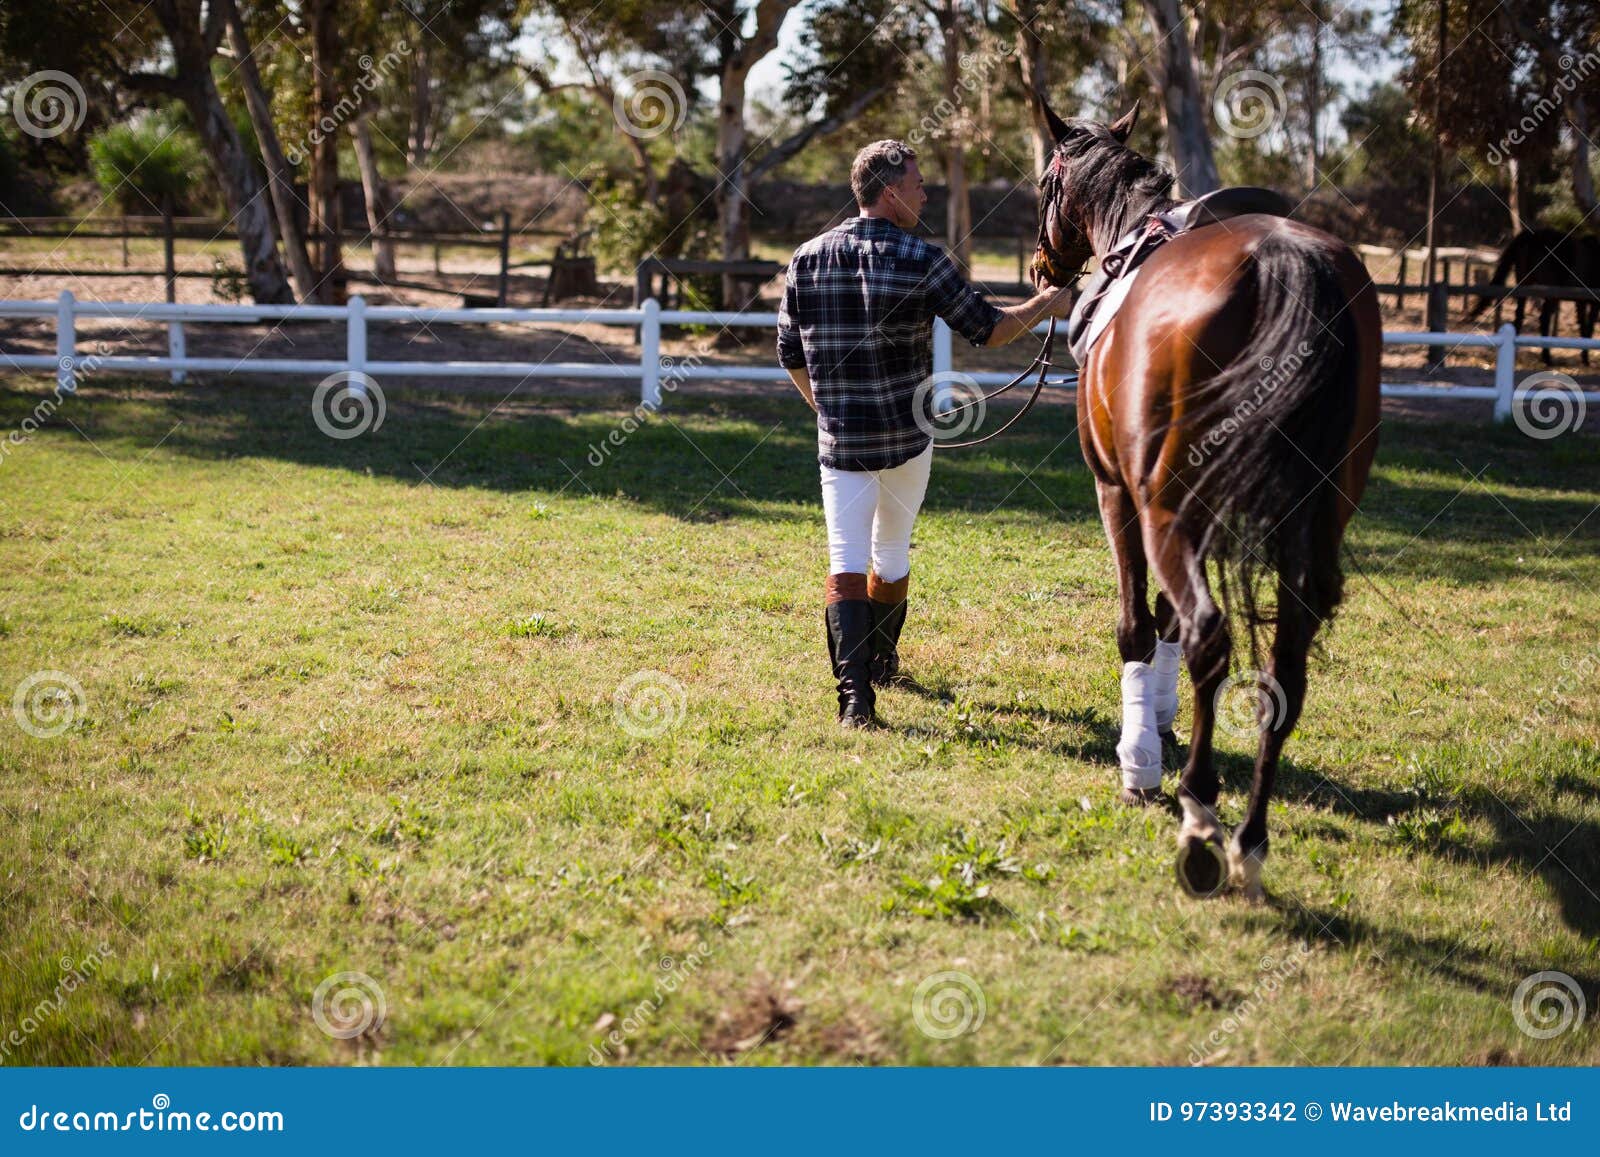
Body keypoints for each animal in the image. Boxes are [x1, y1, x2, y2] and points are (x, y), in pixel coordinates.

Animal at [1030, 101, 1381, 900]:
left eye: (1043, 182)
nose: (1040, 268)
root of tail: (1286, 258)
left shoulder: (1118, 493)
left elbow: (1138, 625)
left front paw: (1140, 762)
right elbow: (1166, 621)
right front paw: (1159, 723)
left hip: (1164, 507)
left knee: (1212, 636)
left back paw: (1198, 814)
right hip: (1308, 518)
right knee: (1284, 665)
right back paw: (1250, 837)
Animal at [1469, 227, 1598, 366]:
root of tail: (1530, 236)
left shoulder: (1582, 301)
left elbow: (1583, 324)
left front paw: (1584, 356)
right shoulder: (1593, 302)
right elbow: (1589, 326)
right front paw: (1586, 358)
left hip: (1524, 283)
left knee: (1519, 315)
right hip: (1549, 292)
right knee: (1544, 319)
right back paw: (1547, 358)